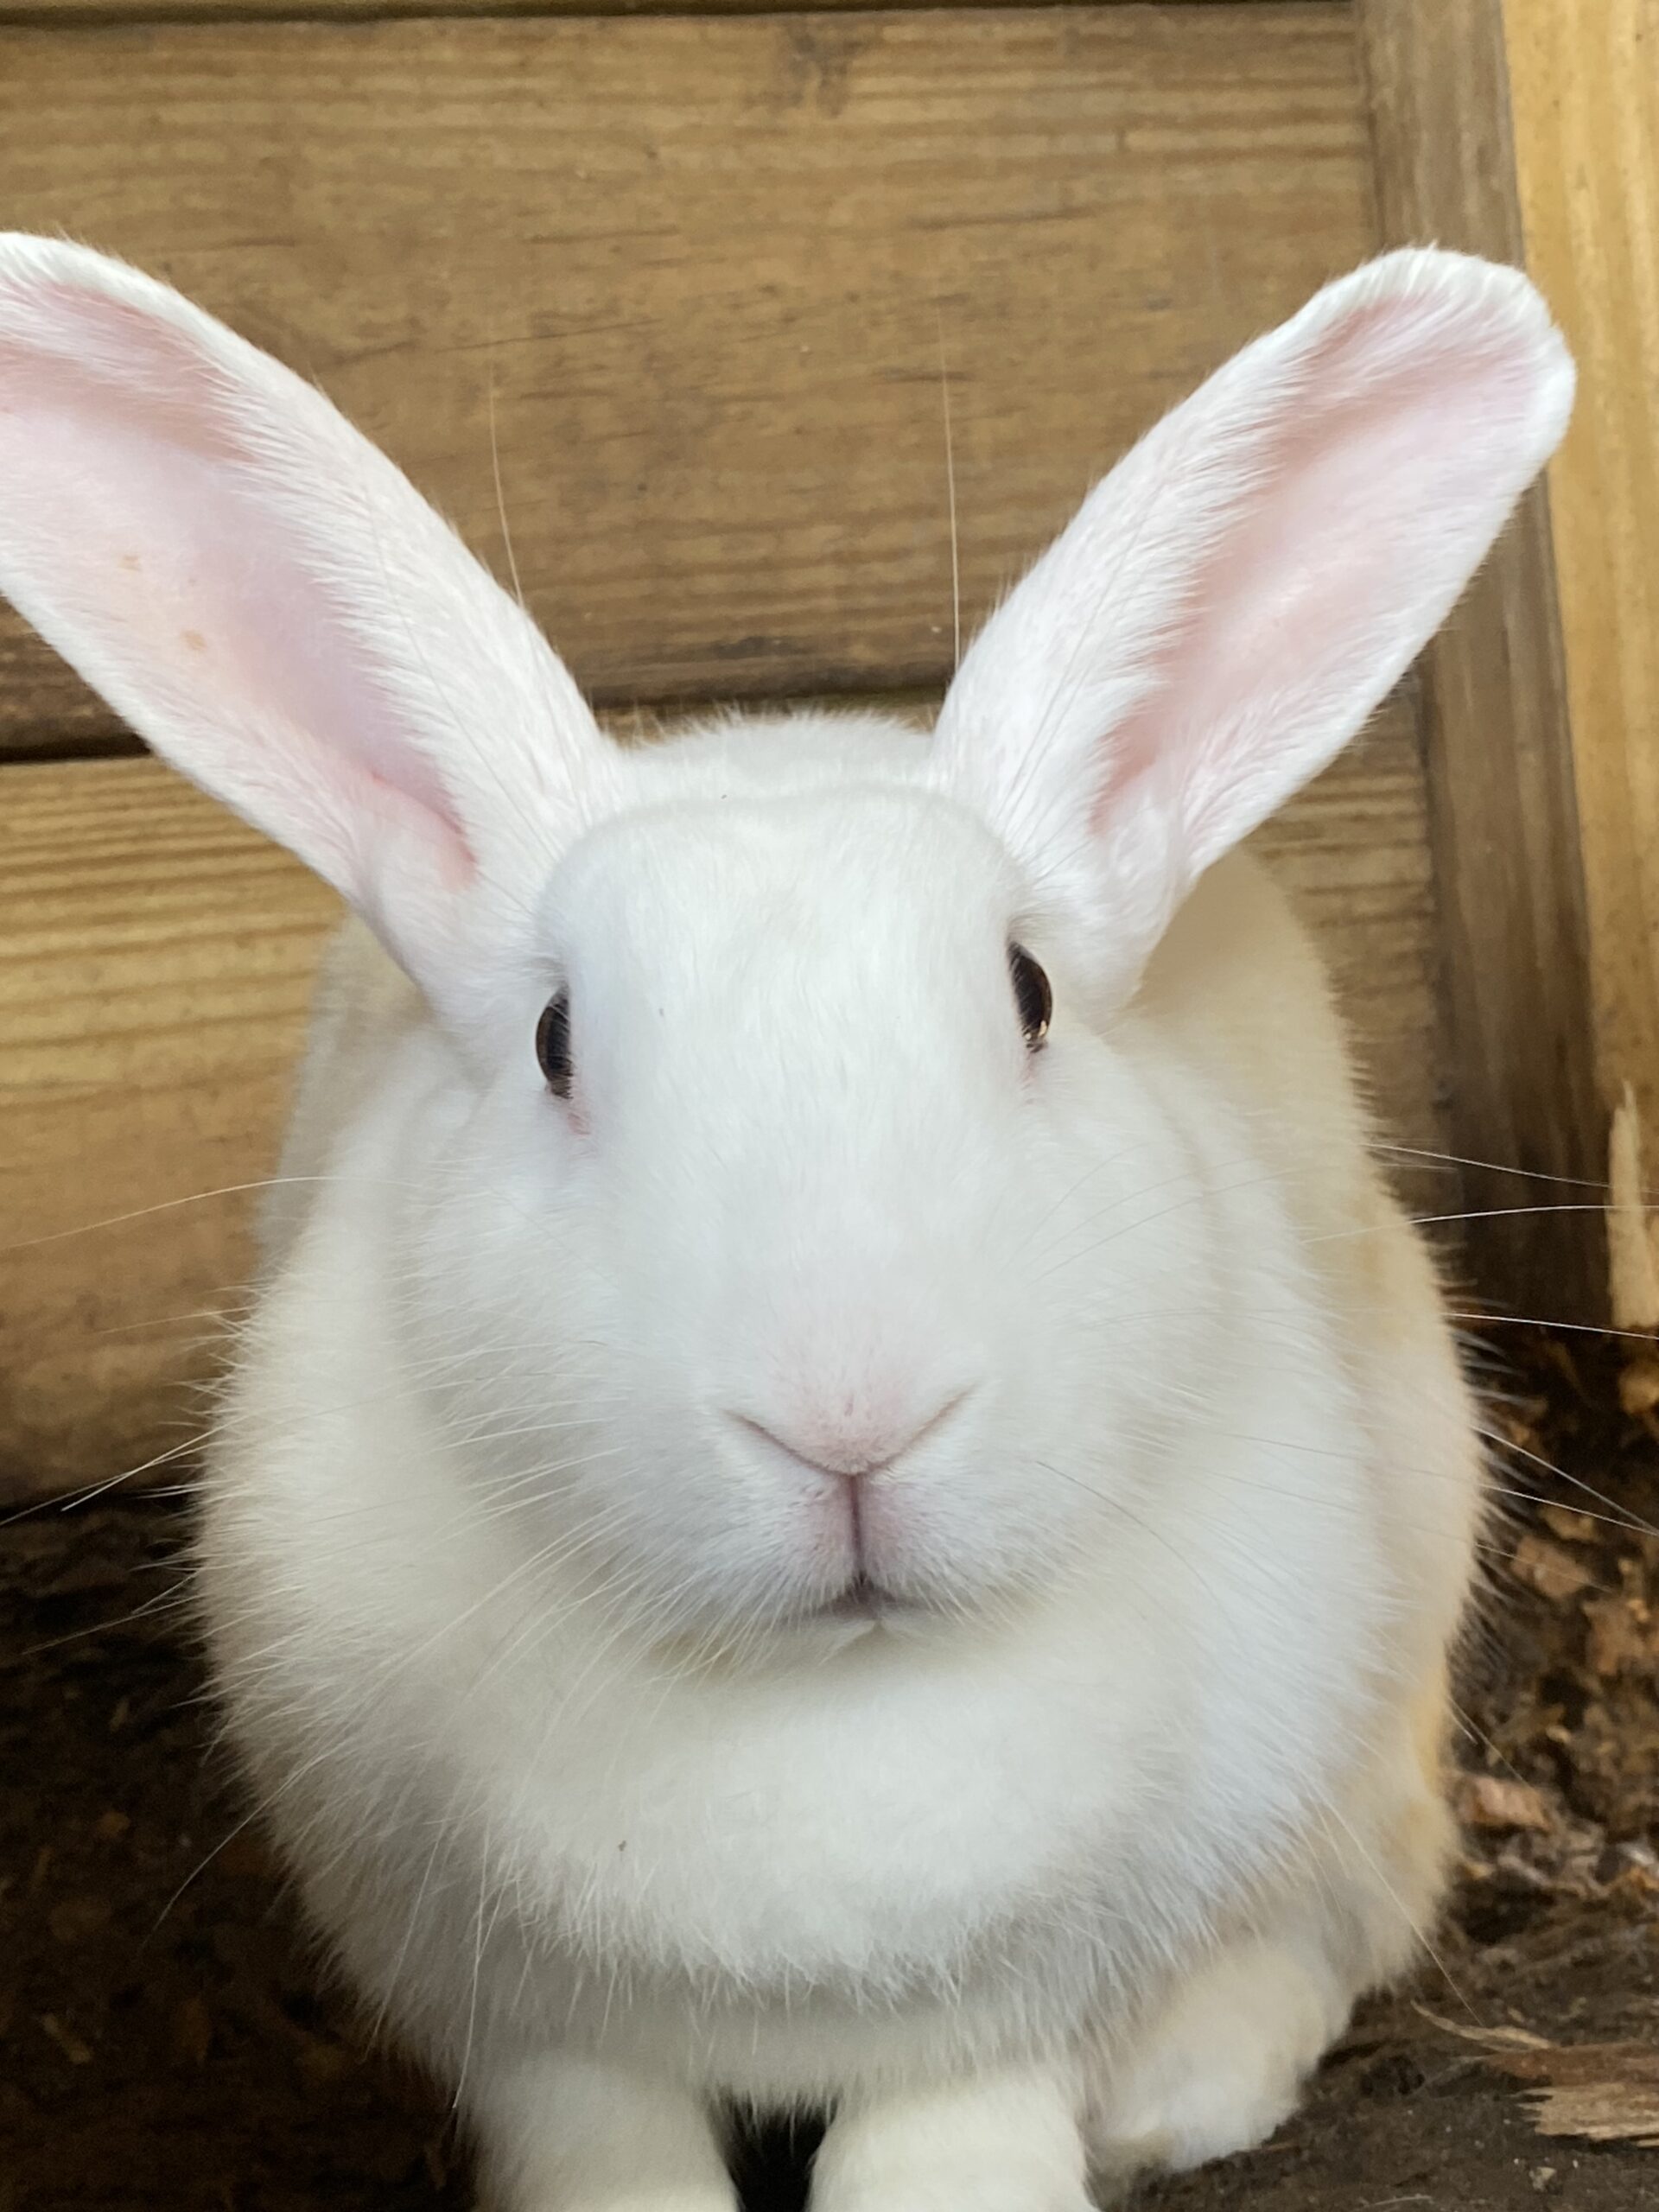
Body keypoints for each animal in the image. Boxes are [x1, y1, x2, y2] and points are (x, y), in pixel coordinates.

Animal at [0, 234, 1572, 2210]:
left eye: (1031, 997)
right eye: (556, 1041)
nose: (848, 1418)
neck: (823, 1697)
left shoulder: (1009, 2001)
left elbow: (957, 2120)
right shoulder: (510, 2008)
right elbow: (595, 2137)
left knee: (1355, 1901)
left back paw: (1183, 2090)